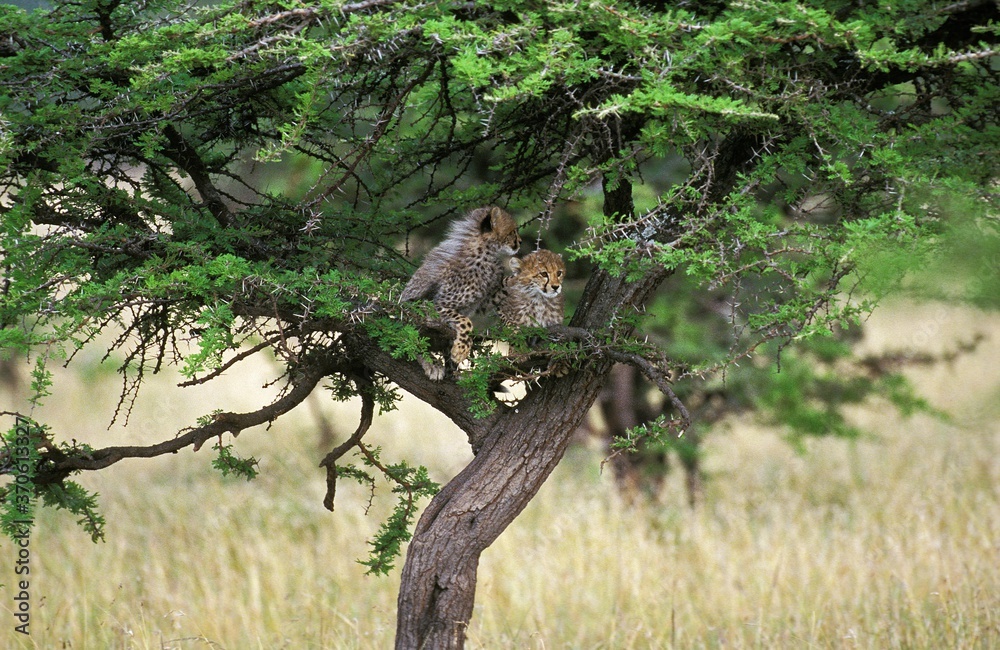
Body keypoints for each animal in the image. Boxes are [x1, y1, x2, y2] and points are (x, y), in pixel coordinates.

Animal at [400, 206, 521, 379]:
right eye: (512, 232)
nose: (520, 242)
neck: (486, 251)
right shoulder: (438, 305)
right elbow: (466, 322)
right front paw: (460, 351)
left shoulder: (481, 302)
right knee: (412, 341)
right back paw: (433, 364)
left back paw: (453, 372)